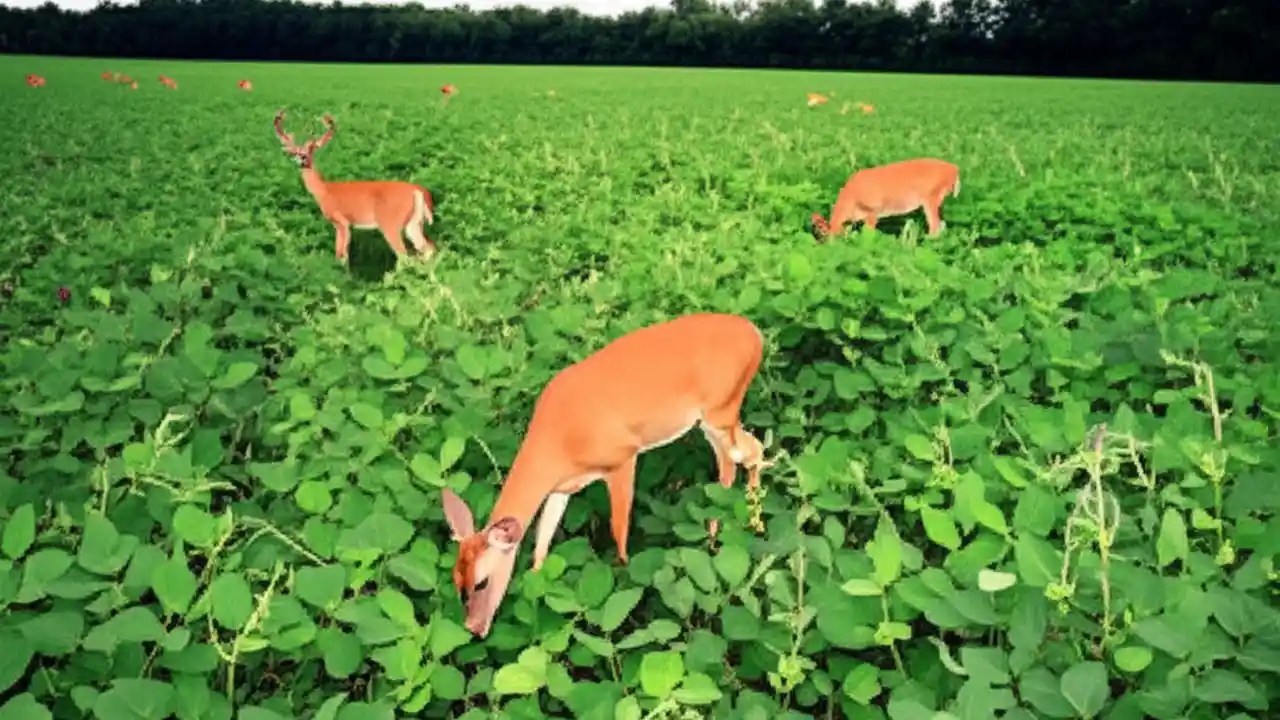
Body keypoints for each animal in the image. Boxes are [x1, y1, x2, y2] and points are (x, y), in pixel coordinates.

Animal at [272, 110, 437, 263]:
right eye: (295, 153)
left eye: (311, 150)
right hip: (414, 222)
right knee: (428, 248)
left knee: (404, 254)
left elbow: (342, 255)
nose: (302, 158)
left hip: (391, 223)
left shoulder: (341, 221)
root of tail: (418, 191)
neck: (324, 191)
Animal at [440, 312, 774, 638]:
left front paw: (624, 574)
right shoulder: (562, 487)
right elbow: (542, 540)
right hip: (710, 420)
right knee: (730, 464)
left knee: (752, 451)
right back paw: (715, 540)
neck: (559, 439)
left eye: (481, 581)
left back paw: (754, 528)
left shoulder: (622, 457)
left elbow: (618, 527)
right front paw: (536, 586)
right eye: (456, 579)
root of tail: (755, 334)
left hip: (722, 409)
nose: (473, 628)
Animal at [812, 157, 960, 240]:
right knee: (942, 224)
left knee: (936, 226)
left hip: (931, 197)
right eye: (817, 235)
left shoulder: (873, 211)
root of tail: (955, 170)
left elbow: (868, 234)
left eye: (824, 234)